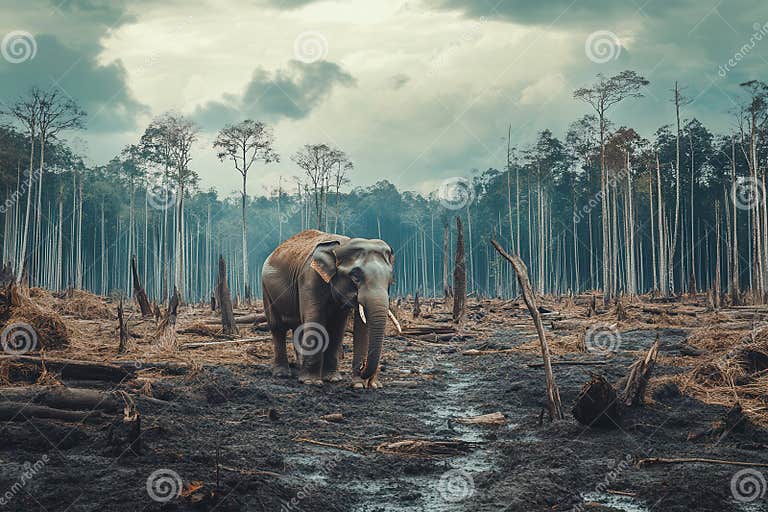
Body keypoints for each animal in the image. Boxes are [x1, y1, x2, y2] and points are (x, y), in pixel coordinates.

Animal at [261, 229, 399, 388]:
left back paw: (299, 368)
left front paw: (338, 380)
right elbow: (315, 319)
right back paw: (282, 374)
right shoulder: (310, 278)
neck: (341, 245)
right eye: (355, 276)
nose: (362, 369)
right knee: (277, 327)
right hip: (266, 290)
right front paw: (311, 382)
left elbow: (339, 327)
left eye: (390, 279)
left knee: (298, 327)